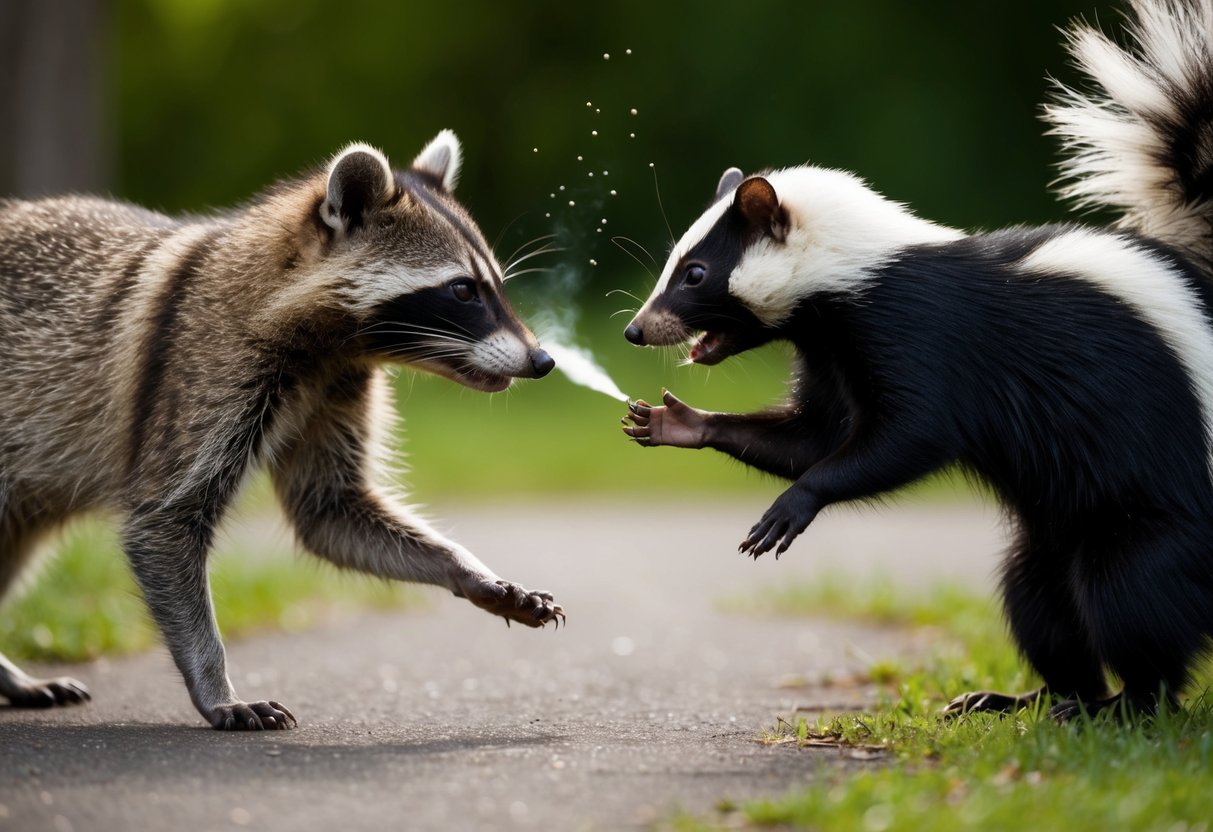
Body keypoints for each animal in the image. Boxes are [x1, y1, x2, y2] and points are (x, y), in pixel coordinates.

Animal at [0, 132, 564, 730]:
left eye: (495, 286)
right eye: (462, 291)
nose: (544, 360)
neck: (331, 342)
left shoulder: (337, 385)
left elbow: (329, 508)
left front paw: (469, 569)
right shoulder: (198, 372)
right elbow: (164, 519)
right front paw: (214, 684)